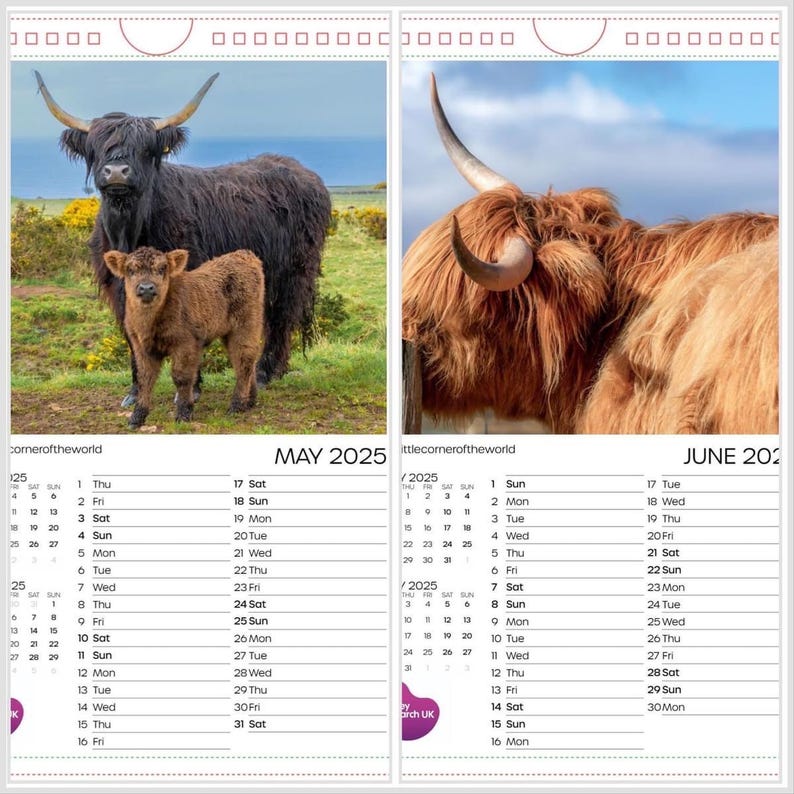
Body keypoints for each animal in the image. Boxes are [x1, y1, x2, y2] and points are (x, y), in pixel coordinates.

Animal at [35, 71, 331, 407]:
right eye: (96, 148)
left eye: (145, 149)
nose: (117, 172)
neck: (130, 230)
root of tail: (304, 172)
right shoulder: (119, 288)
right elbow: (133, 334)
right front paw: (135, 391)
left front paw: (190, 390)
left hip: (295, 269)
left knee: (282, 315)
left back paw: (266, 373)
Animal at [102, 246, 264, 429]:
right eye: (130, 270)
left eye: (162, 268)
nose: (146, 288)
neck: (150, 323)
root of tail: (244, 254)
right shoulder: (141, 348)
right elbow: (144, 378)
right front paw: (136, 418)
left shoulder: (185, 345)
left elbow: (182, 378)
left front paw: (183, 414)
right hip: (230, 333)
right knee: (244, 361)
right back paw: (250, 401)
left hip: (246, 325)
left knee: (244, 360)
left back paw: (236, 406)